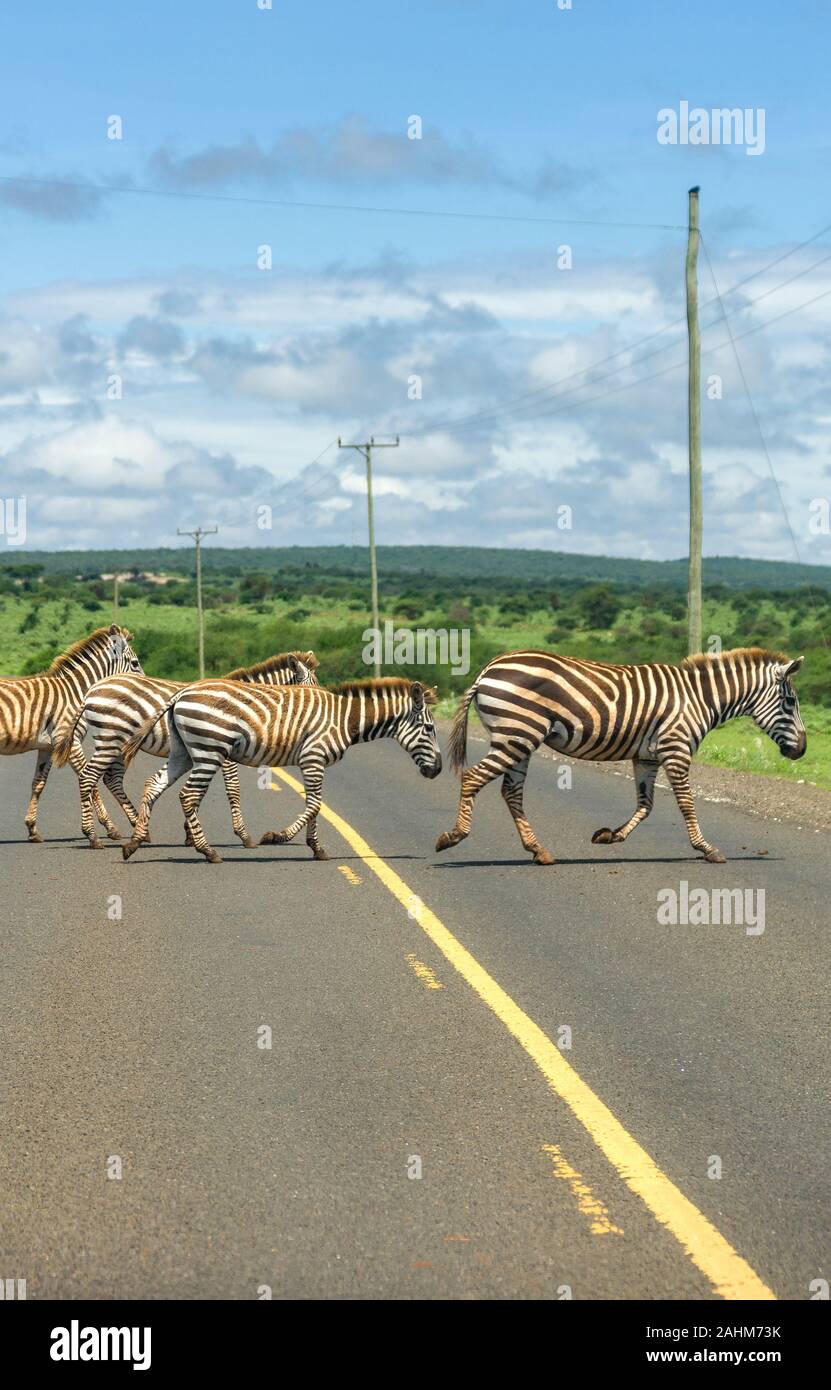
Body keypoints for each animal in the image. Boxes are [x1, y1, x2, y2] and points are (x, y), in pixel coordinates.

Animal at [0, 624, 142, 843]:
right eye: (135, 663)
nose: (144, 686)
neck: (76, 693)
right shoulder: (72, 741)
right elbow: (91, 783)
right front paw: (108, 828)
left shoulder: (48, 746)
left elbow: (38, 783)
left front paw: (32, 829)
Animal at [51, 651, 319, 849]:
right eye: (314, 690)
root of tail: (91, 691)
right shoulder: (225, 753)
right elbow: (233, 790)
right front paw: (243, 836)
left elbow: (199, 793)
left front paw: (190, 834)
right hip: (112, 738)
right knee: (90, 777)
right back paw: (94, 836)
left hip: (117, 743)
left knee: (110, 778)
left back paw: (137, 828)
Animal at [120, 677, 441, 864]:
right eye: (429, 728)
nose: (437, 770)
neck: (346, 720)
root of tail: (180, 695)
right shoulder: (313, 757)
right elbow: (314, 804)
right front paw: (276, 837)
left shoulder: (314, 762)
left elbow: (314, 804)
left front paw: (316, 848)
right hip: (209, 751)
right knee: (187, 796)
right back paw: (207, 851)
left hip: (183, 752)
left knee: (152, 785)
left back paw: (134, 843)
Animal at [435, 647, 806, 865]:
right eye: (790, 702)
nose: (802, 750)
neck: (699, 698)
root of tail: (488, 669)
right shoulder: (676, 748)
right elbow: (686, 803)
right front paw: (706, 848)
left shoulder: (648, 756)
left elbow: (646, 804)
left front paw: (610, 835)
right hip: (517, 734)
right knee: (473, 777)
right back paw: (453, 836)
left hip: (519, 739)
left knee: (511, 791)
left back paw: (538, 850)